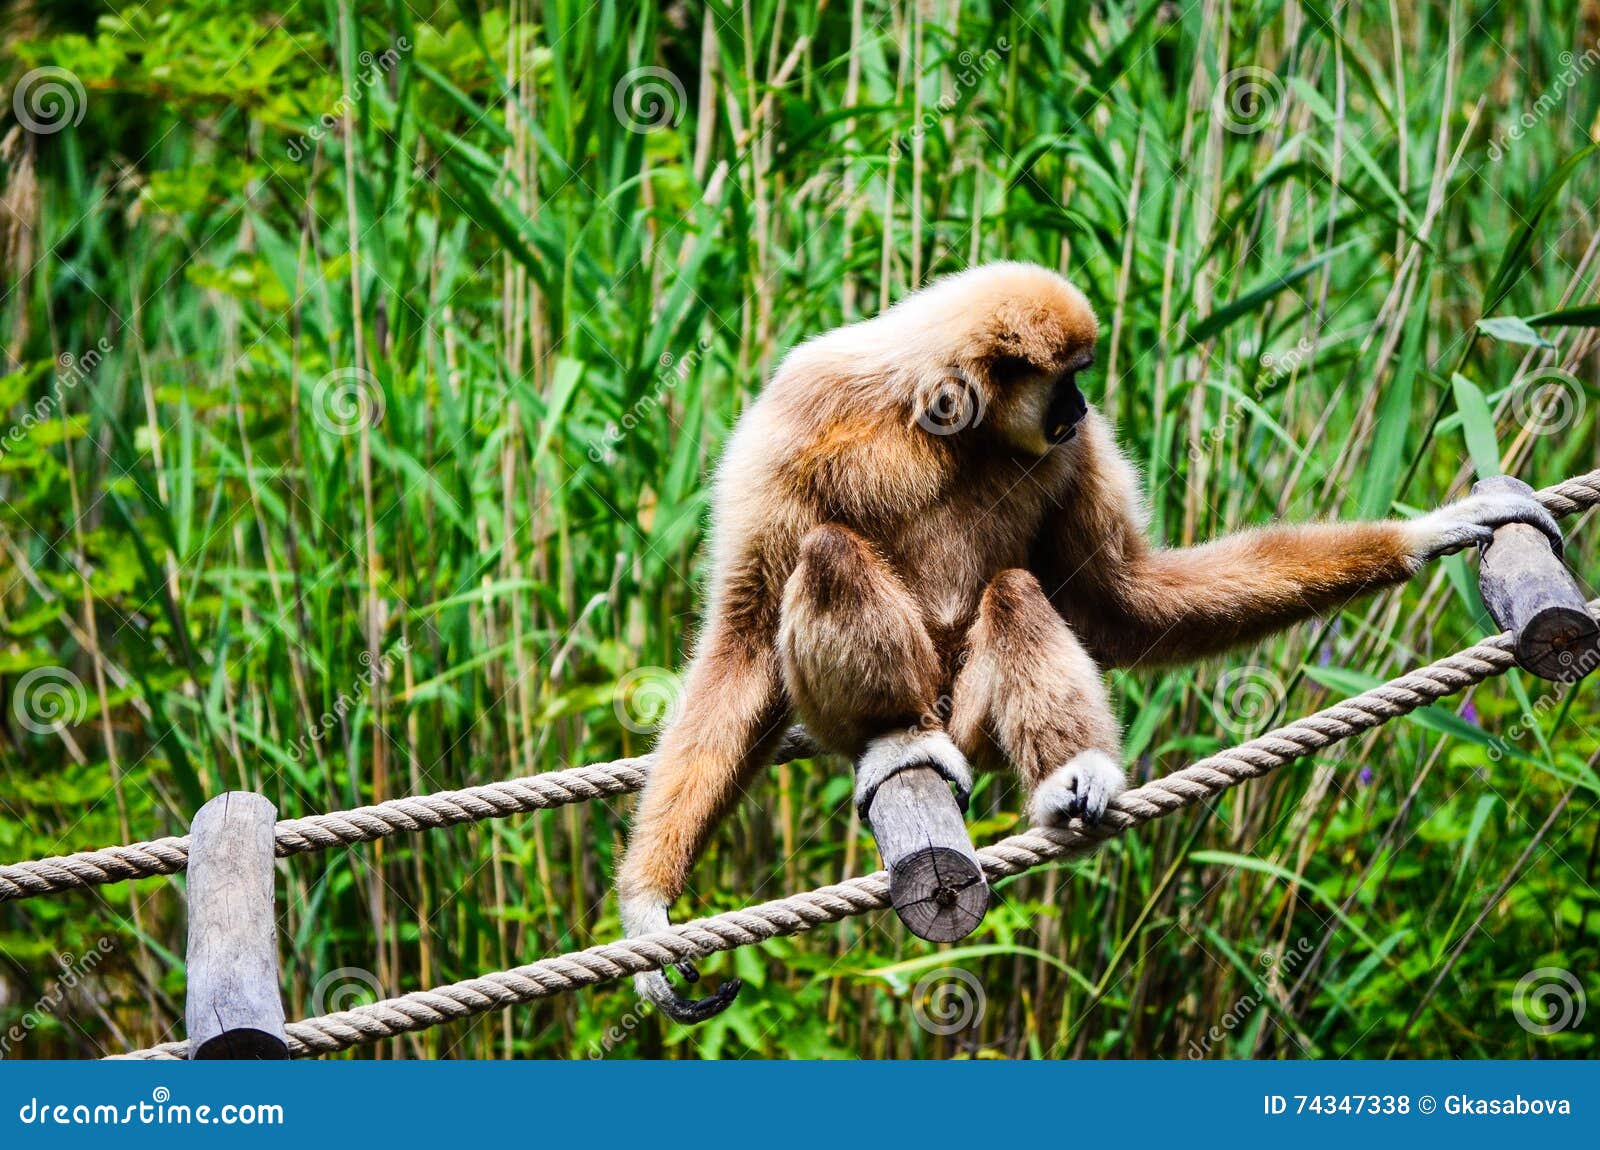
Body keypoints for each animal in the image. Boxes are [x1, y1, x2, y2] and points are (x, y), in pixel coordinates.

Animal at [614, 261, 1563, 1023]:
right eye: (1064, 378)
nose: (1079, 404)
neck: (935, 421)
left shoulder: (1073, 452)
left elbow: (1119, 604)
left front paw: (1428, 533)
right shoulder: (796, 415)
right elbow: (742, 635)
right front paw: (650, 912)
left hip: (976, 713)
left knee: (1015, 593)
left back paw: (1073, 776)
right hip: (918, 694)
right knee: (826, 553)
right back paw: (896, 739)